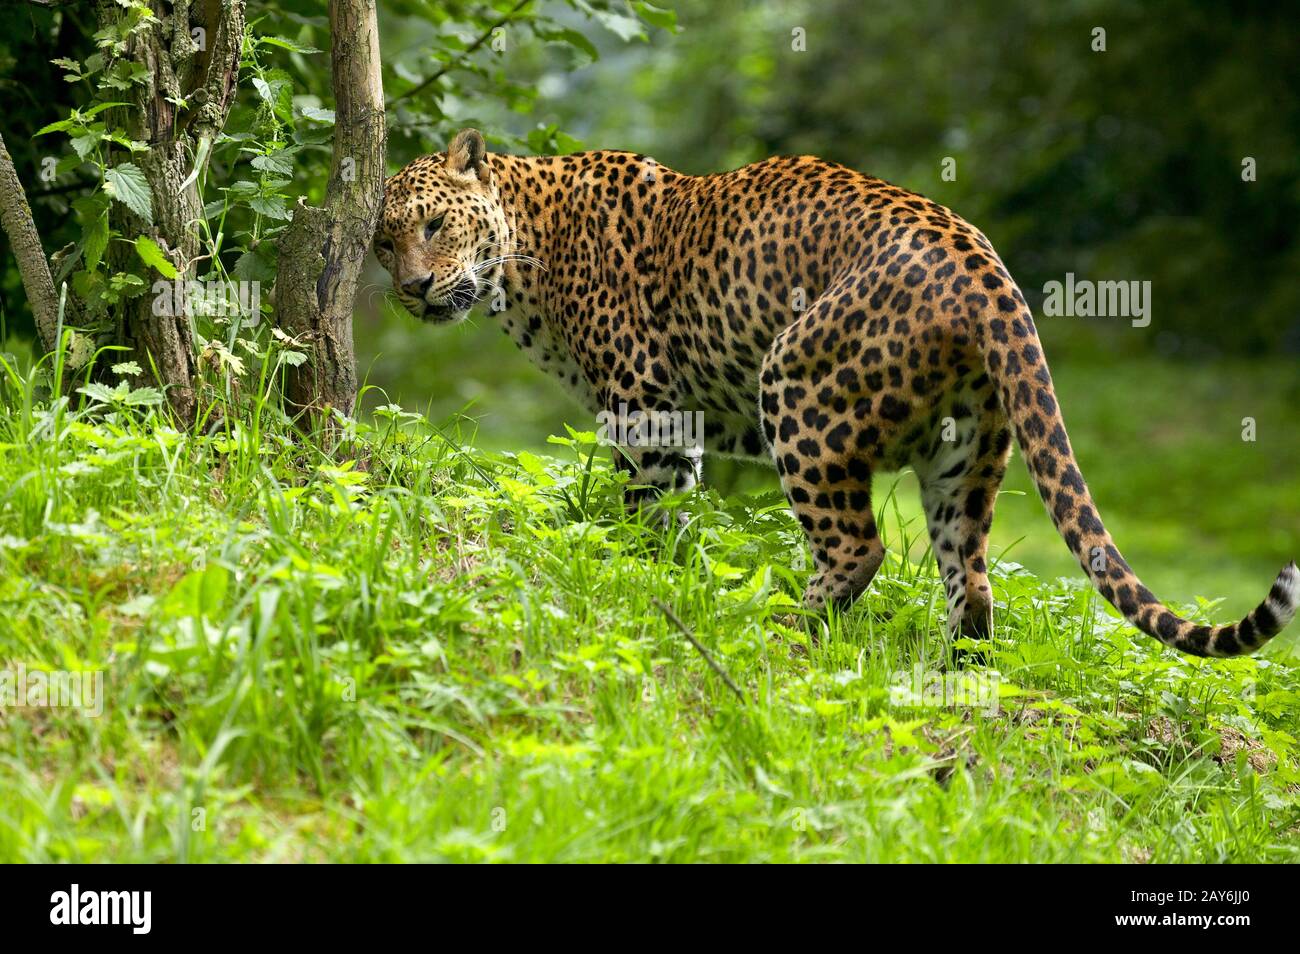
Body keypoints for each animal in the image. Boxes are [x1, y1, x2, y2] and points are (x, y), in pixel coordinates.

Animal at [374, 128, 1298, 659]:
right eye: (383, 243)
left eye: (433, 225)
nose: (412, 290)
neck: (522, 255)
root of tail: (985, 270)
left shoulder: (646, 407)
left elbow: (646, 518)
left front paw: (637, 581)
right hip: (968, 456)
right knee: (973, 585)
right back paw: (955, 681)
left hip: (797, 385)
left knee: (859, 548)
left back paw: (783, 628)